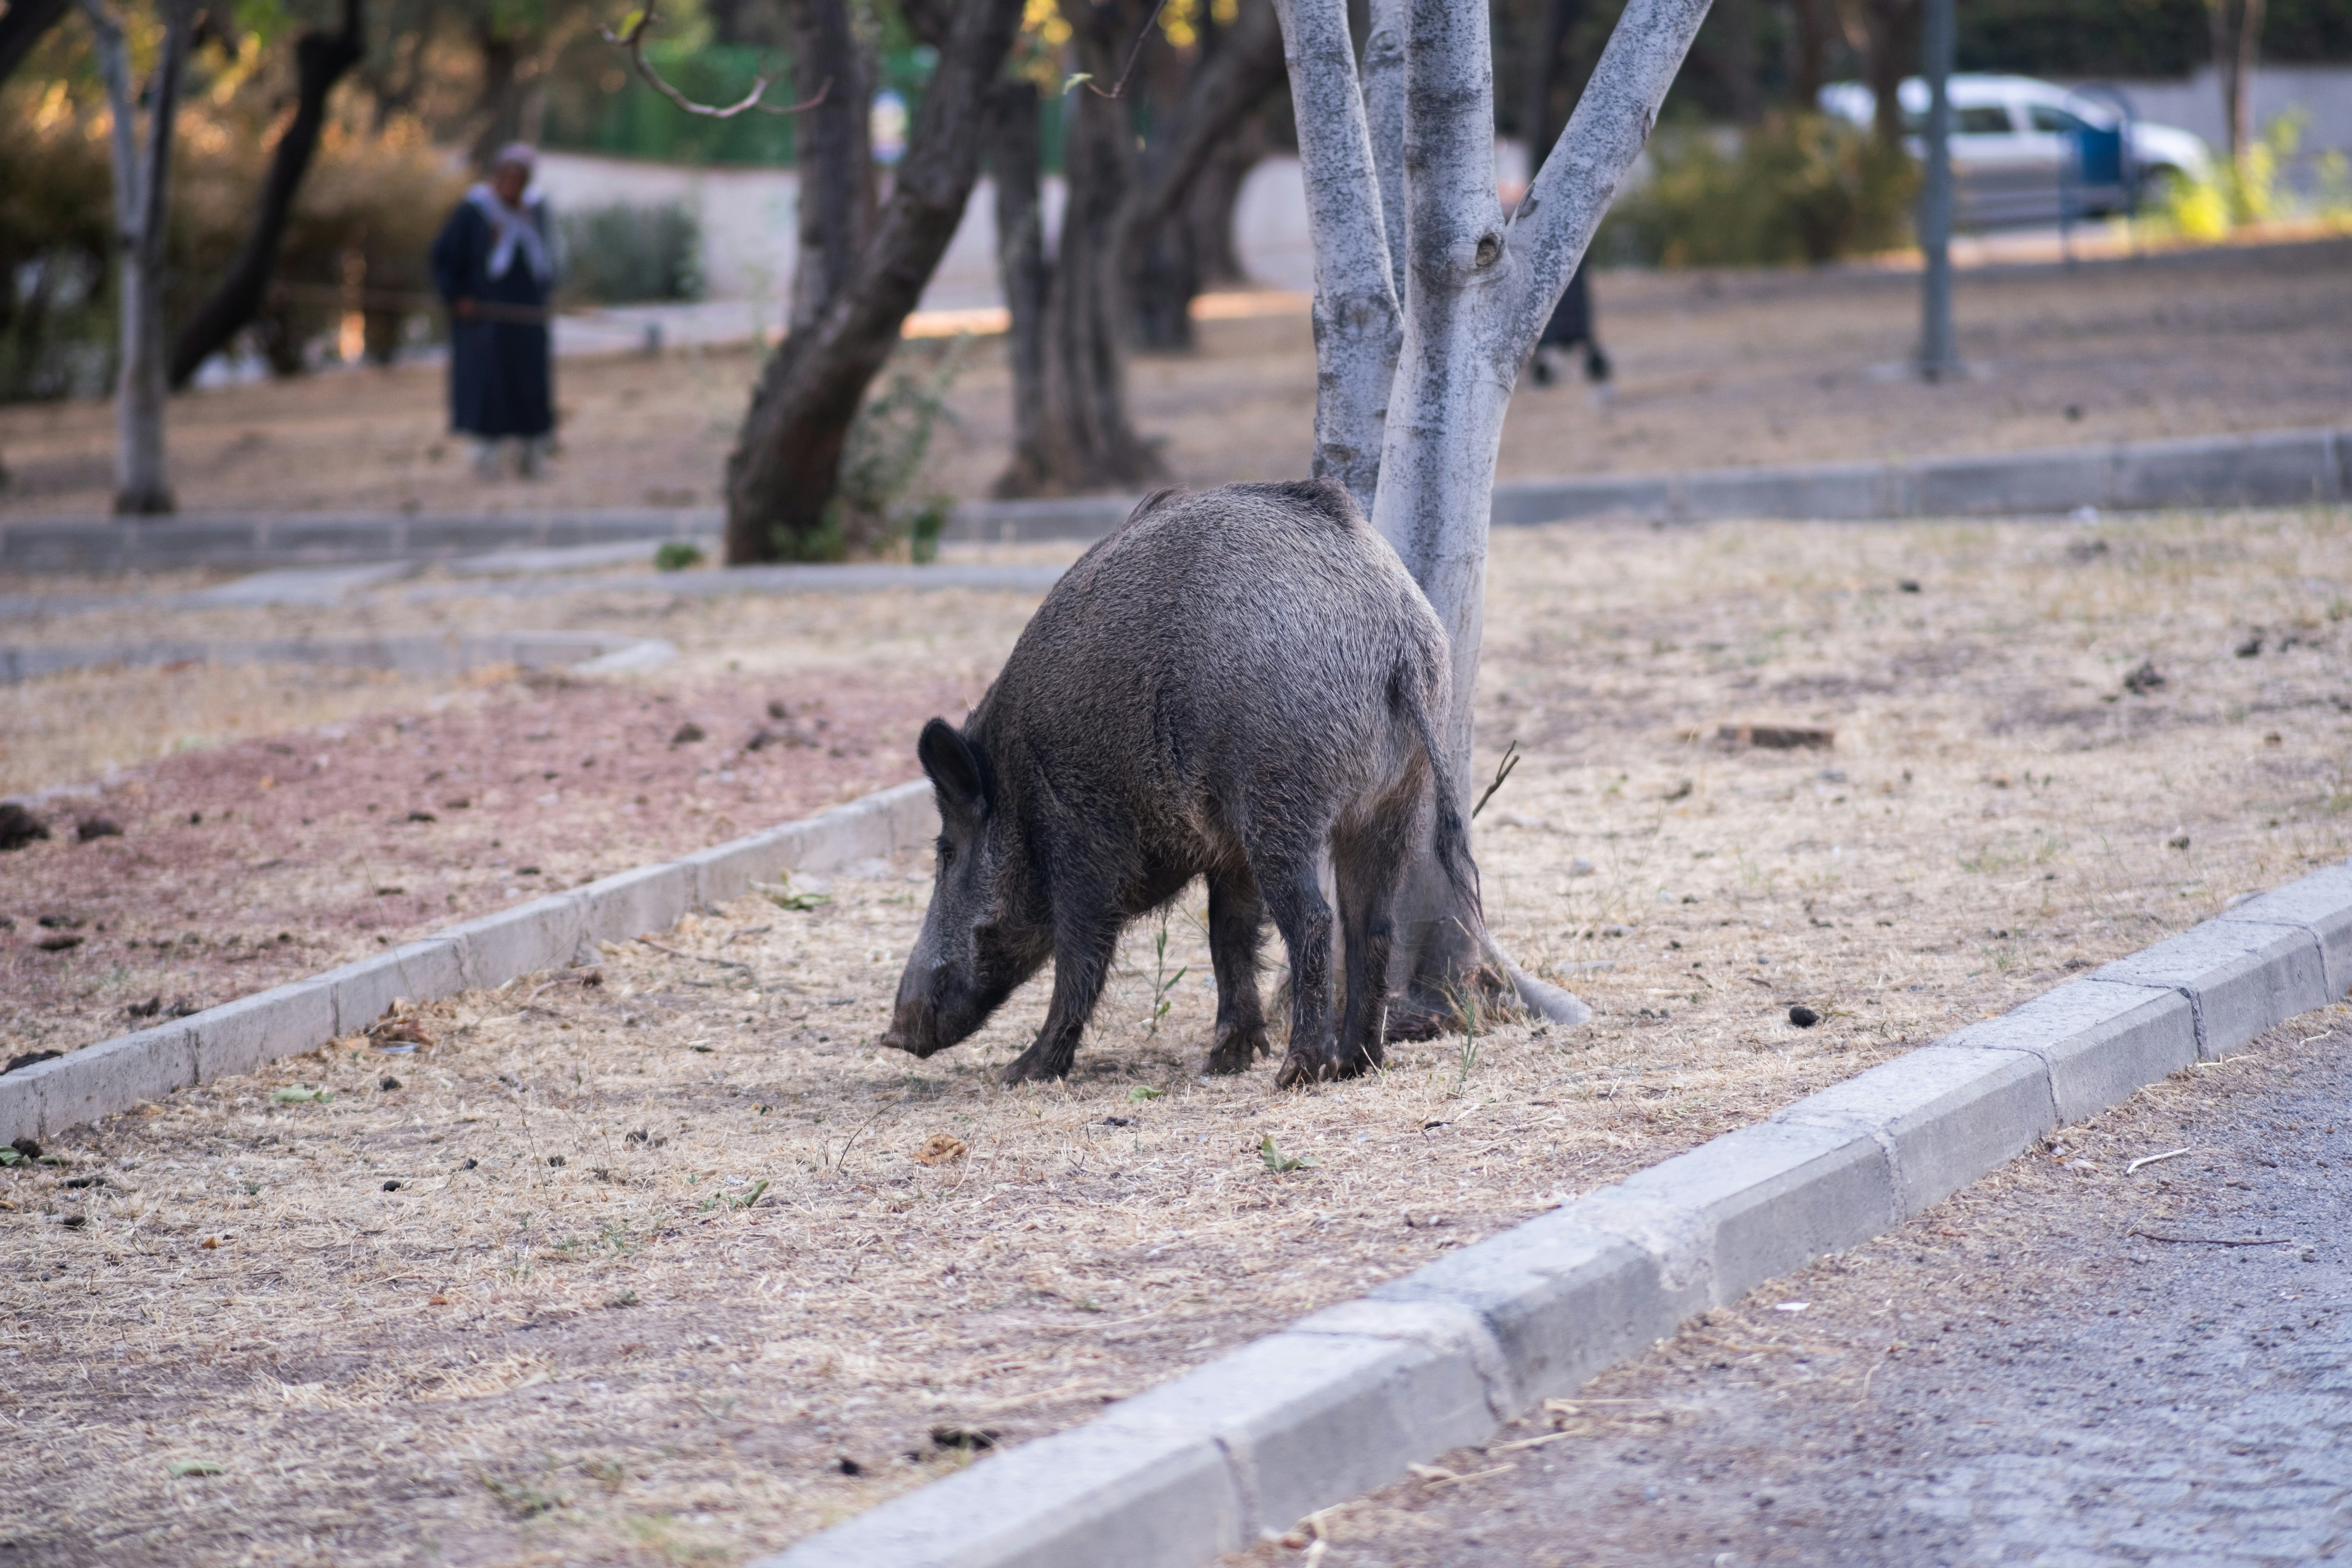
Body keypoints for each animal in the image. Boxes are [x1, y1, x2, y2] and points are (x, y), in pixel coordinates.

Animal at [880, 479, 1479, 1088]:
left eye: (947, 852)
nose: (895, 1035)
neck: (1018, 783)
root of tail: (1398, 639)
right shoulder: (1228, 849)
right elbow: (1228, 933)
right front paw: (1223, 1061)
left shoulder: (1082, 840)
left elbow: (1081, 955)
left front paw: (1023, 1072)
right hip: (1394, 802)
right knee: (1372, 925)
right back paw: (1357, 1065)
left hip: (1281, 800)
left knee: (1314, 920)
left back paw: (1298, 1071)